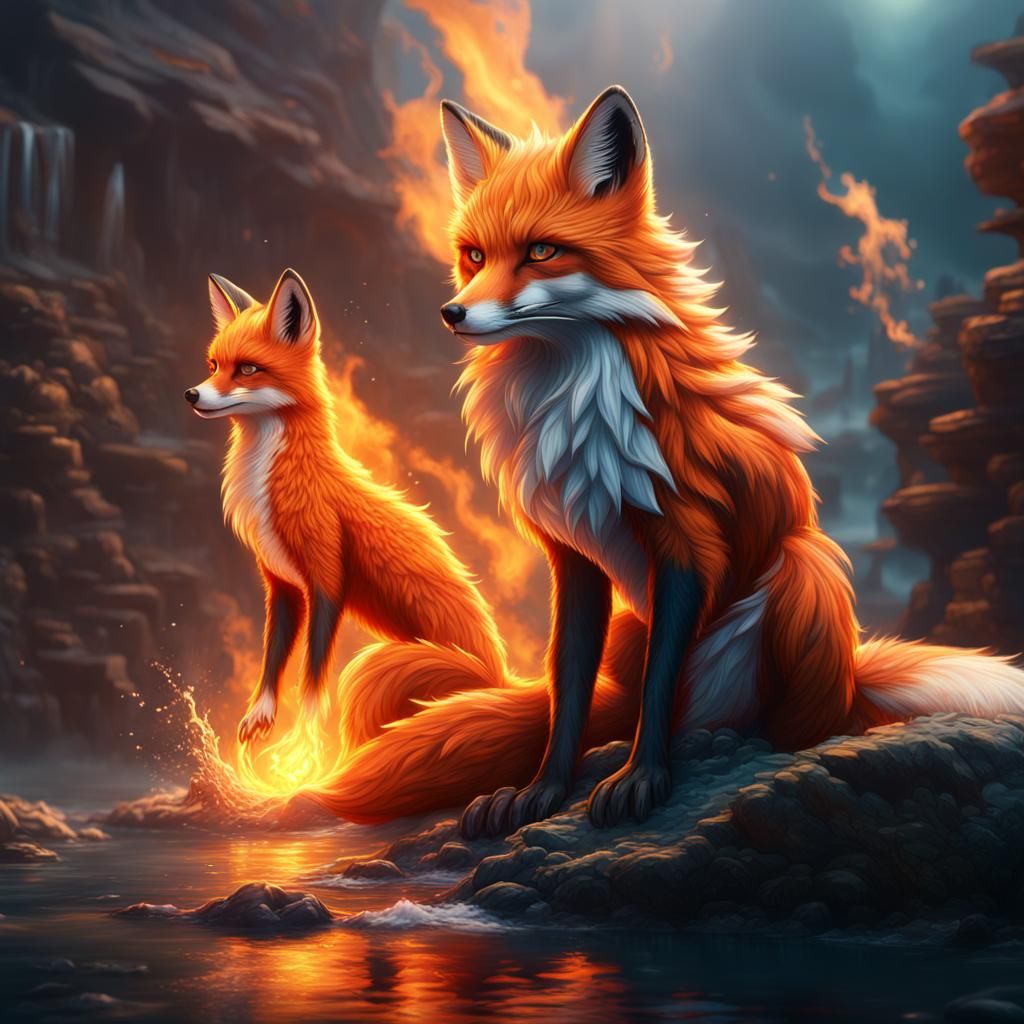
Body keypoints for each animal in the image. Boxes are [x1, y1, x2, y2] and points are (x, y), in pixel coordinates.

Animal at [184, 268, 511, 746]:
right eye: (213, 366)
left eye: (246, 369)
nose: (191, 394)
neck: (275, 482)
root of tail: (505, 678)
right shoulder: (282, 585)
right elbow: (273, 659)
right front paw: (261, 715)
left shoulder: (328, 580)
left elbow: (313, 675)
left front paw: (303, 741)